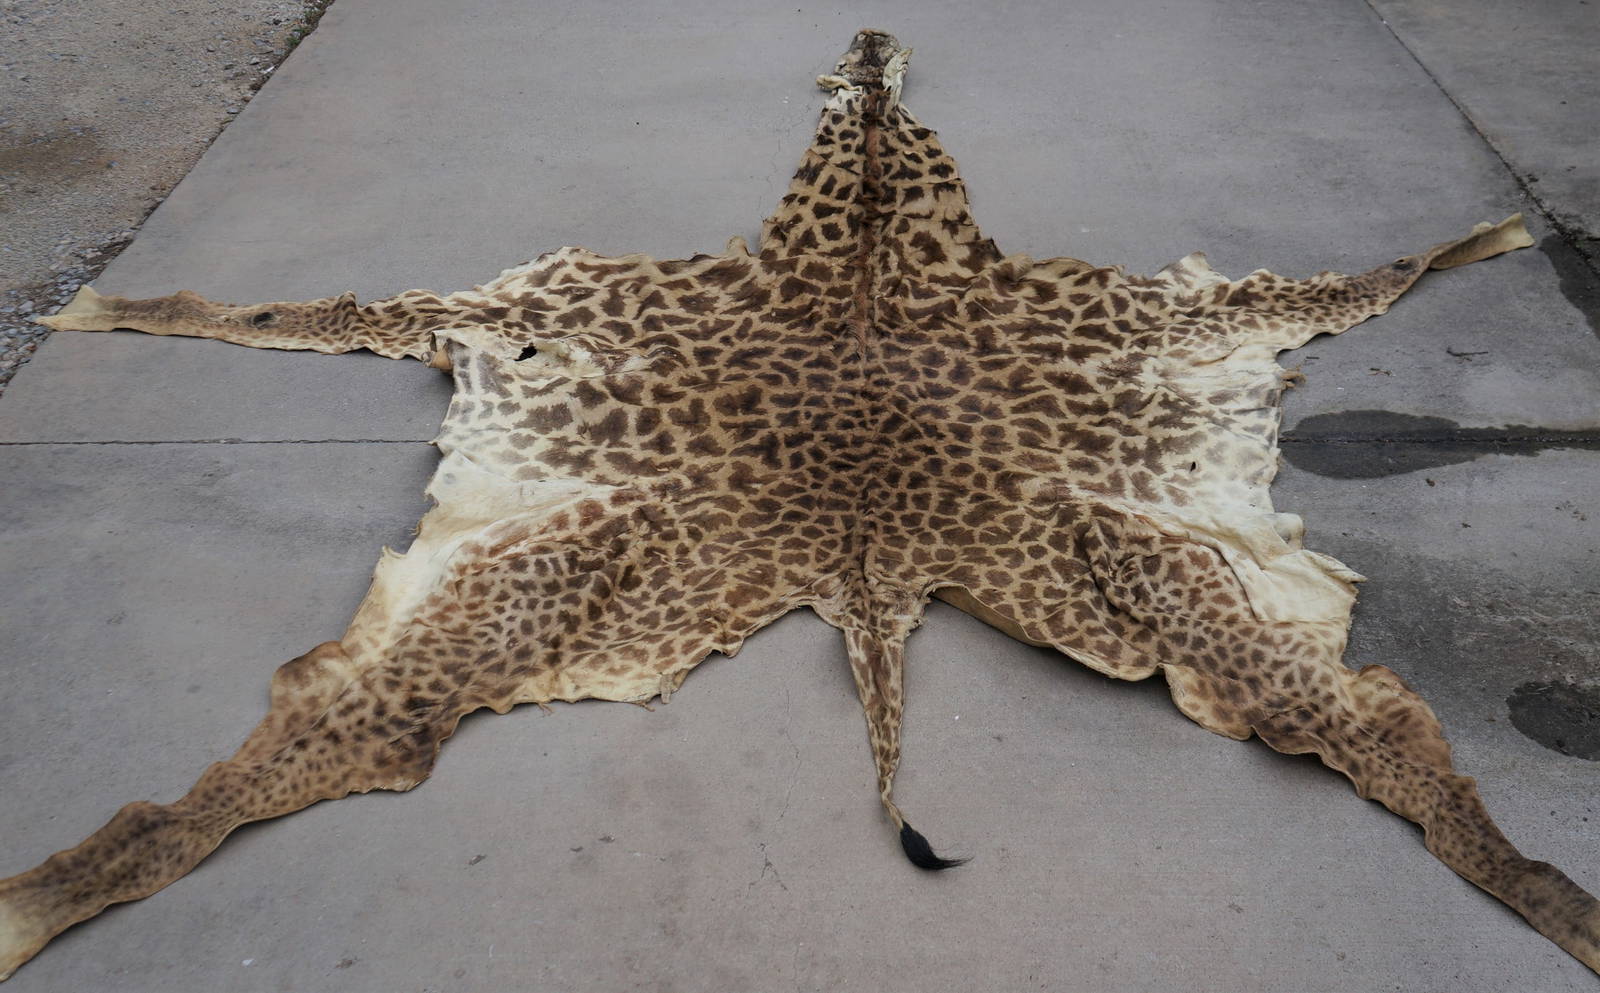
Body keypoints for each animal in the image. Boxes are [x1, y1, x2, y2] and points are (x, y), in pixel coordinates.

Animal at [2, 28, 1596, 981]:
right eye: (852, 90)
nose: (873, 44)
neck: (872, 244)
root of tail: (868, 566)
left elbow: (1370, 272)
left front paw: (1491, 234)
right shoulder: (511, 302)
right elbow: (293, 308)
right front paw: (106, 308)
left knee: (1369, 731)